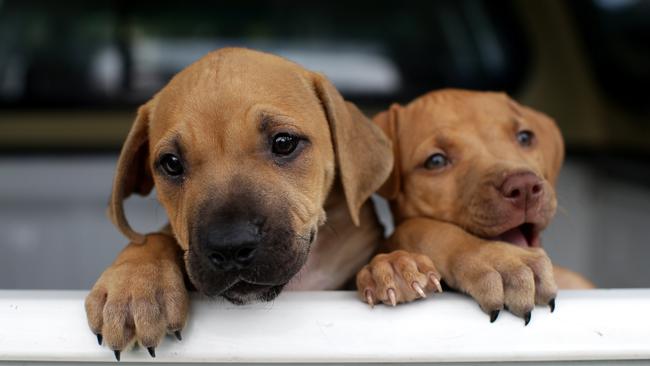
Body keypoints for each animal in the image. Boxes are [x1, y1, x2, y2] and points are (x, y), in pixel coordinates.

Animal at [85, 46, 390, 358]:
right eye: (171, 163)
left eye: (284, 142)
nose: (230, 247)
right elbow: (154, 238)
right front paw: (135, 286)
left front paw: (388, 267)